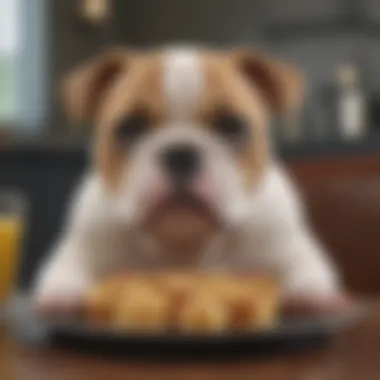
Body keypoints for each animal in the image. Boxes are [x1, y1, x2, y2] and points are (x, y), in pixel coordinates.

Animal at [31, 46, 348, 316]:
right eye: (130, 125)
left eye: (231, 124)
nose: (181, 153)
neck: (185, 245)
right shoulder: (86, 244)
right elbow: (67, 268)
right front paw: (63, 293)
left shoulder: (285, 243)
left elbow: (305, 268)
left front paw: (306, 292)